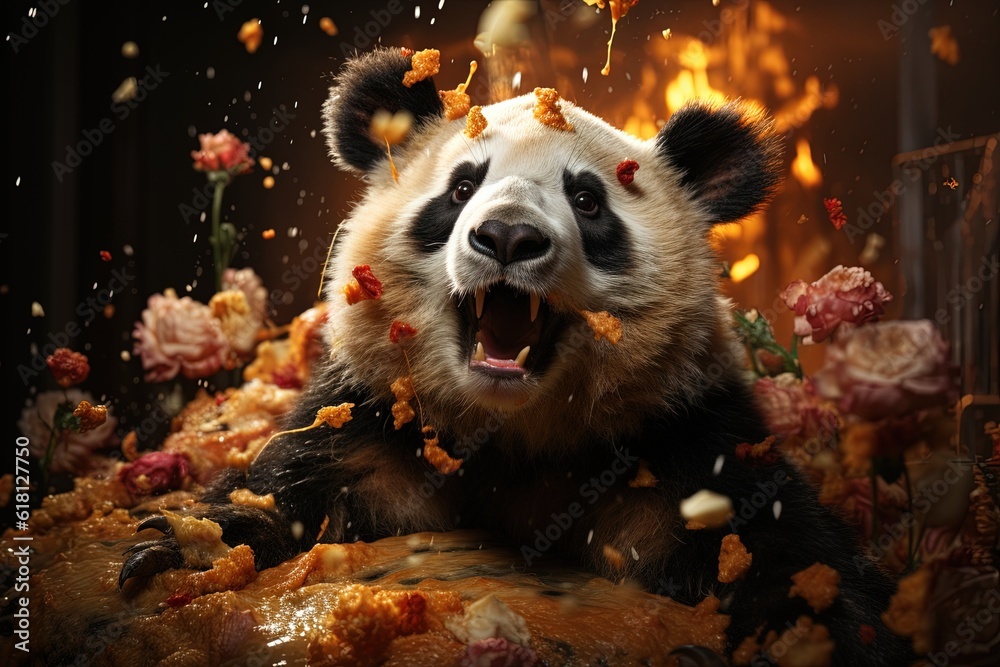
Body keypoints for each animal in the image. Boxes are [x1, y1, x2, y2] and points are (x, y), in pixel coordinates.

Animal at [121, 47, 910, 665]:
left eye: (588, 200)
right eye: (461, 187)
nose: (506, 236)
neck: (510, 433)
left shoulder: (682, 435)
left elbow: (790, 553)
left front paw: (810, 636)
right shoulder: (374, 417)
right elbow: (285, 483)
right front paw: (184, 545)